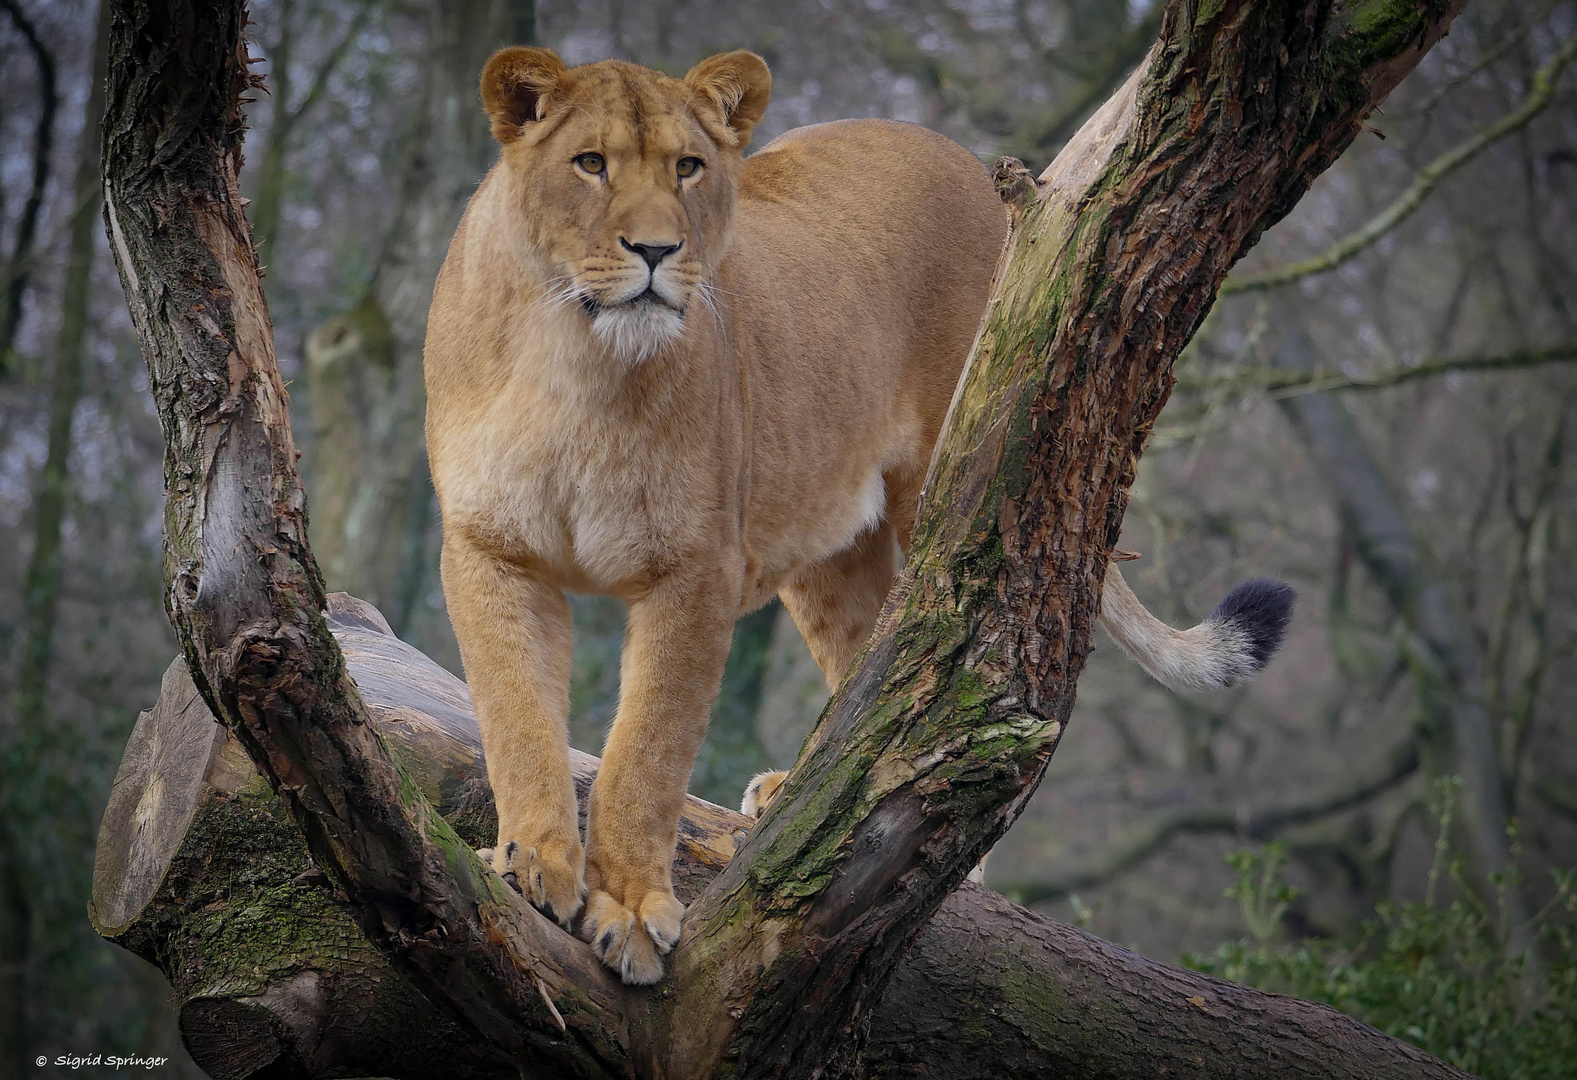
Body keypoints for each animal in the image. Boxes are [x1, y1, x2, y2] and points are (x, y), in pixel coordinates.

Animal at [422, 46, 1294, 985]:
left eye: (687, 168)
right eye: (590, 164)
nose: (656, 250)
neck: (574, 364)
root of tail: (984, 172)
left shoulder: (696, 568)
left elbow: (645, 751)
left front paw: (627, 906)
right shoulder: (488, 549)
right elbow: (515, 715)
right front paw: (531, 867)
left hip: (966, 478)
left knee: (951, 684)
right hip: (827, 547)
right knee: (868, 670)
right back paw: (799, 803)